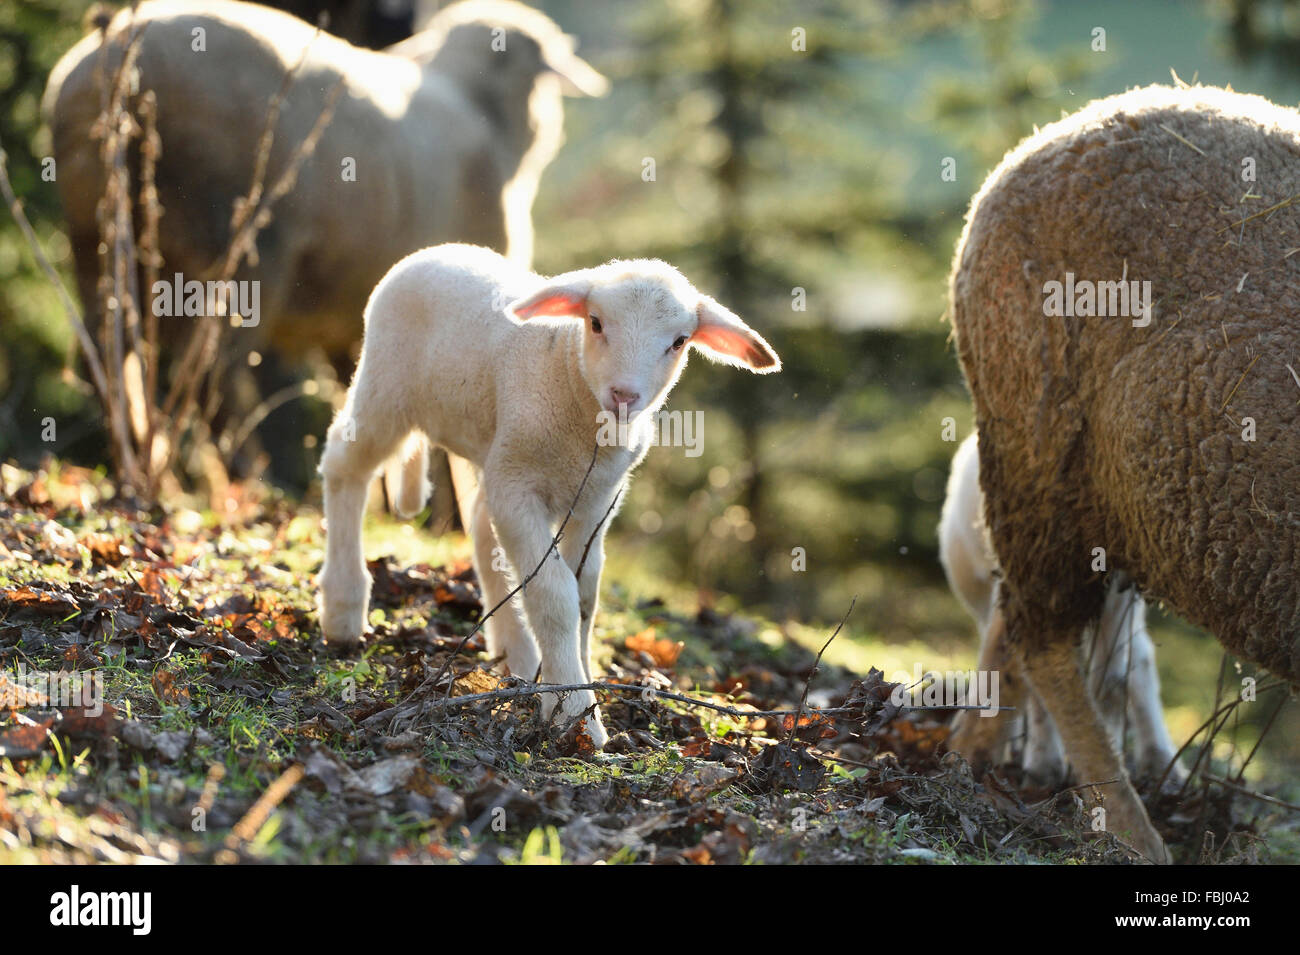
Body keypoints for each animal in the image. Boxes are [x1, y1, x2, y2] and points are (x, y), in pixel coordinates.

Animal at [42, 0, 606, 369]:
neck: (480, 103)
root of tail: (121, 75)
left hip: (95, 239)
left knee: (106, 354)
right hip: (241, 255)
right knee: (208, 375)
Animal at [317, 243, 781, 749]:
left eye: (679, 341)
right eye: (595, 323)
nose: (624, 395)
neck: (565, 369)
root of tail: (436, 249)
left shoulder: (596, 500)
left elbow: (585, 595)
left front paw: (573, 685)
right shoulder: (518, 489)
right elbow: (555, 594)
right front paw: (573, 713)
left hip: (485, 443)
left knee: (481, 531)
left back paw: (515, 658)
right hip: (385, 386)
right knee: (344, 465)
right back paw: (342, 608)